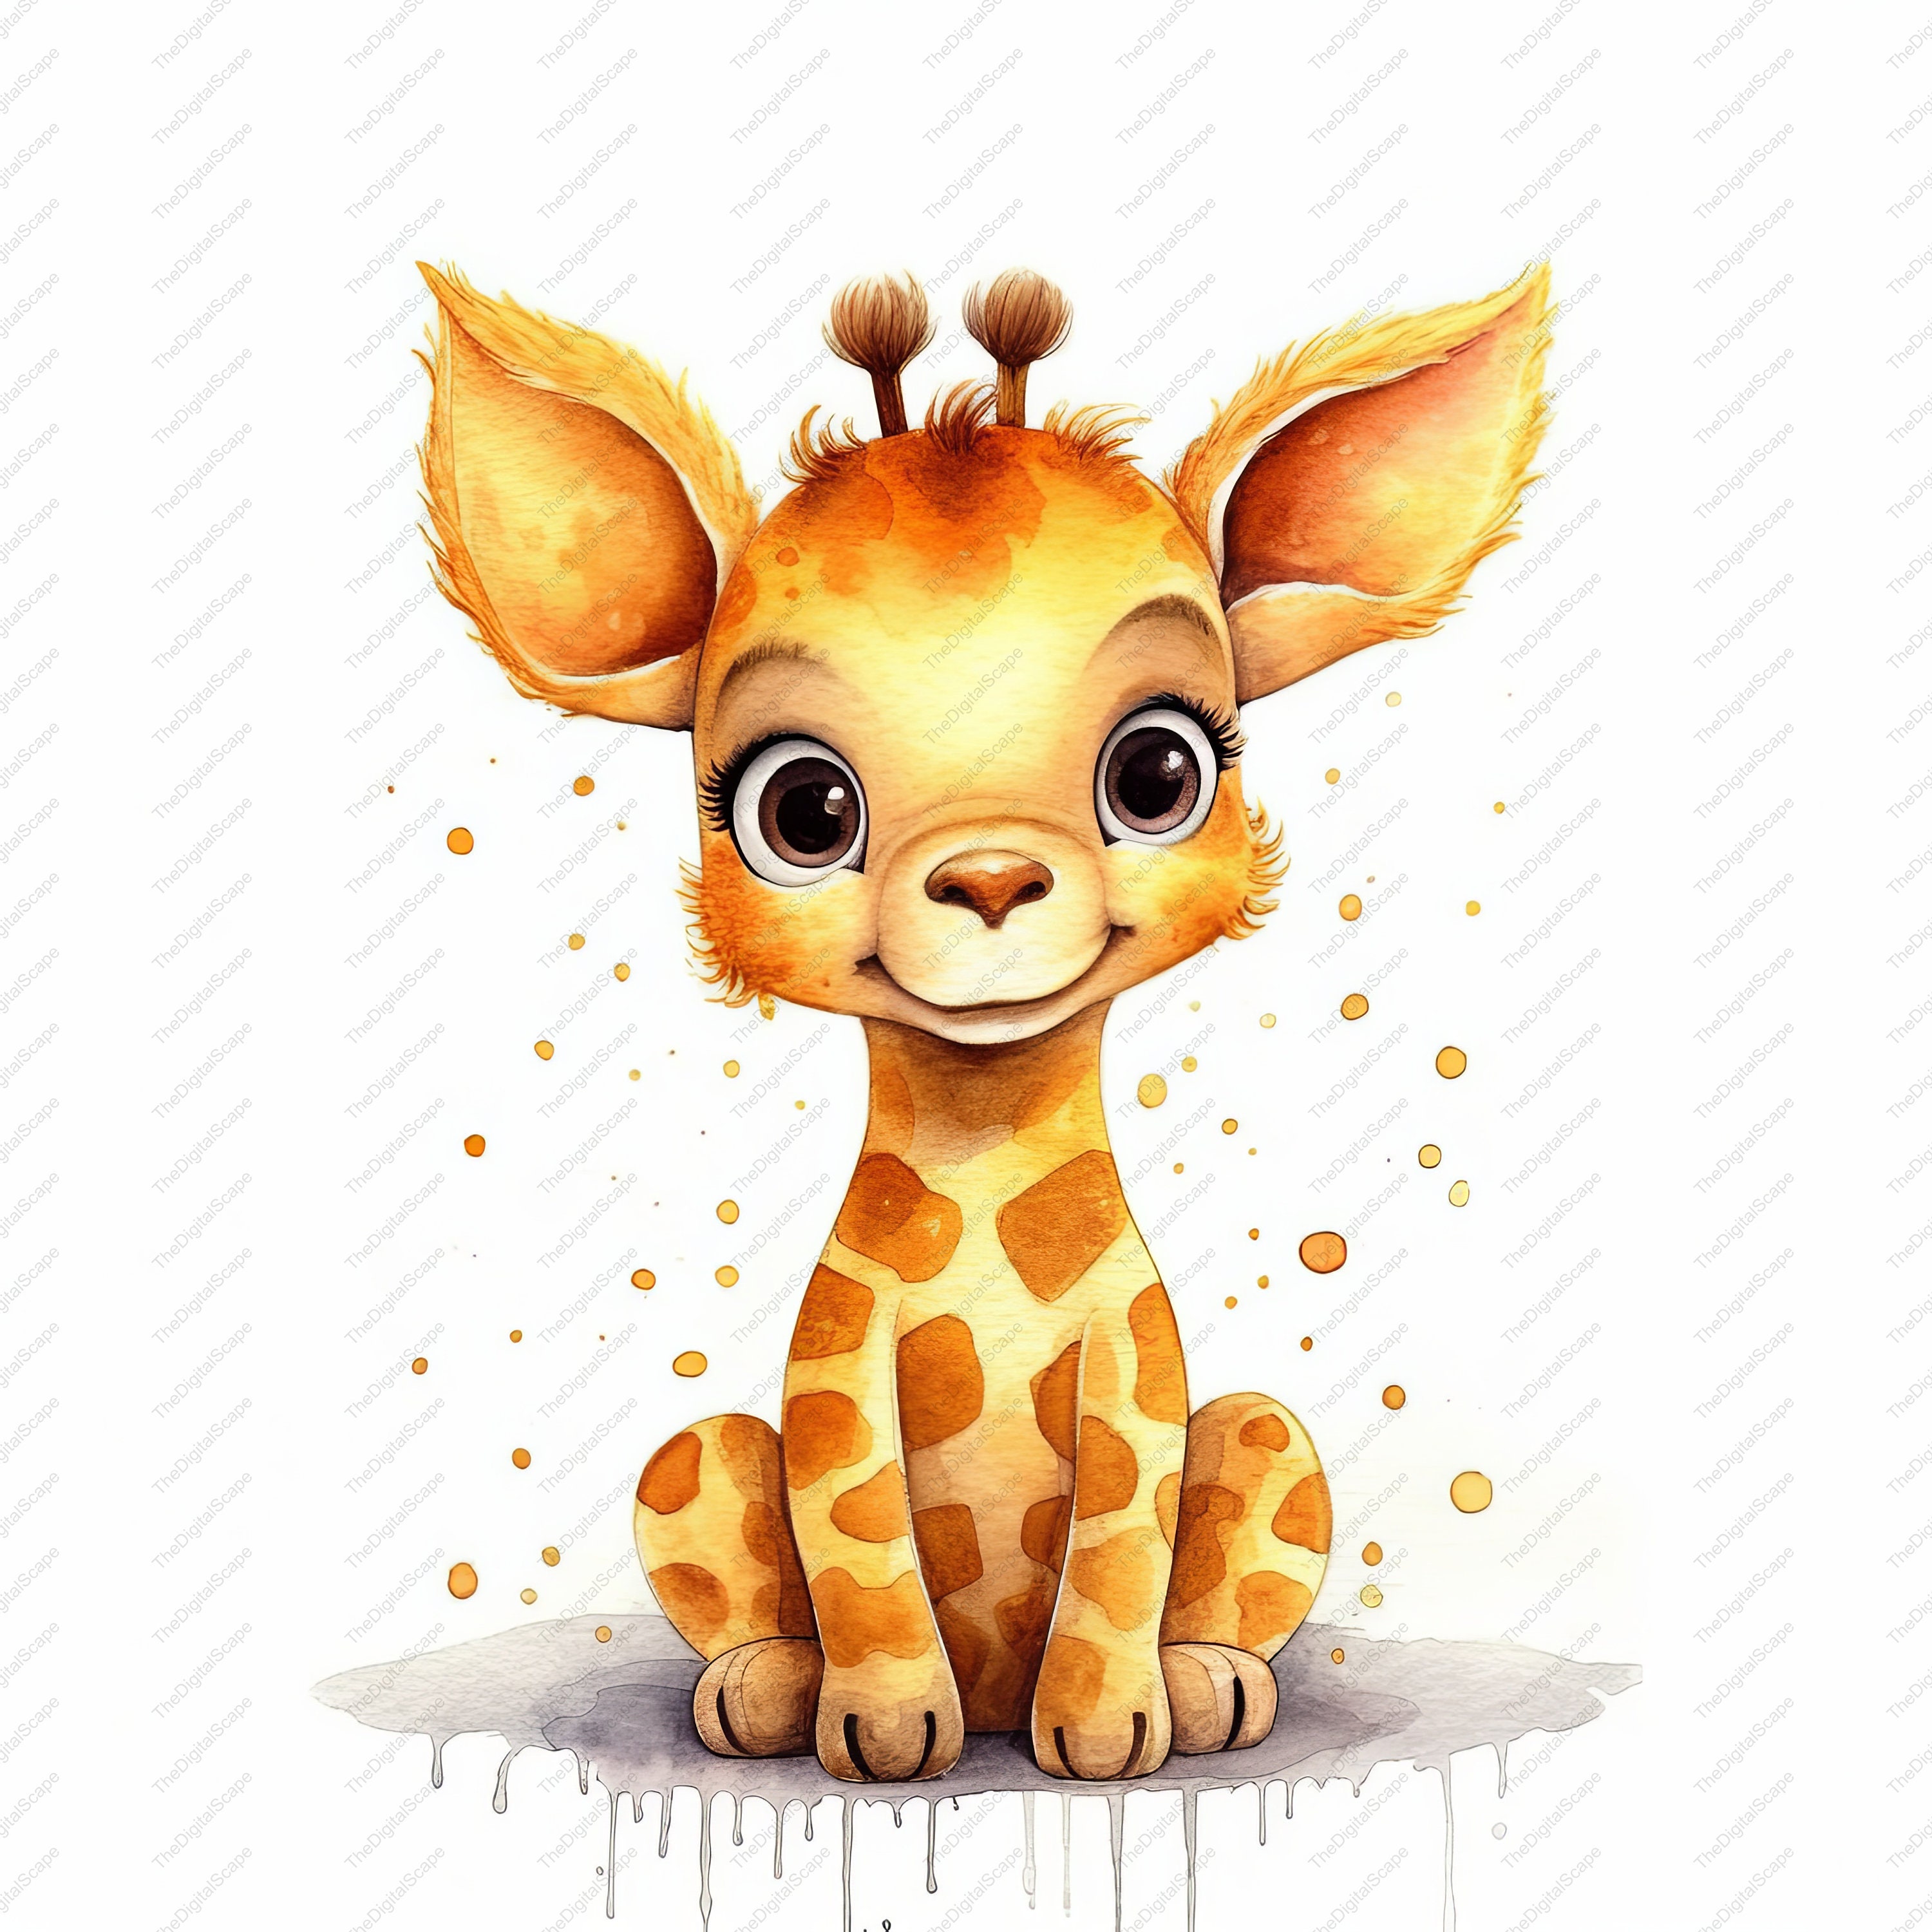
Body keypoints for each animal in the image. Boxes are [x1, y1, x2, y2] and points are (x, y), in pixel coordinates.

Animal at [415, 258, 1553, 1783]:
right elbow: (859, 1542)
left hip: (1263, 1432)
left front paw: (1113, 1726)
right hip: (699, 1457)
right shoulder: (837, 1371)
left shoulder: (1135, 1364)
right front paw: (883, 1725)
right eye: (802, 809)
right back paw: (768, 1691)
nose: (994, 877)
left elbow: (1122, 1540)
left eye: (1160, 770)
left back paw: (1206, 1686)